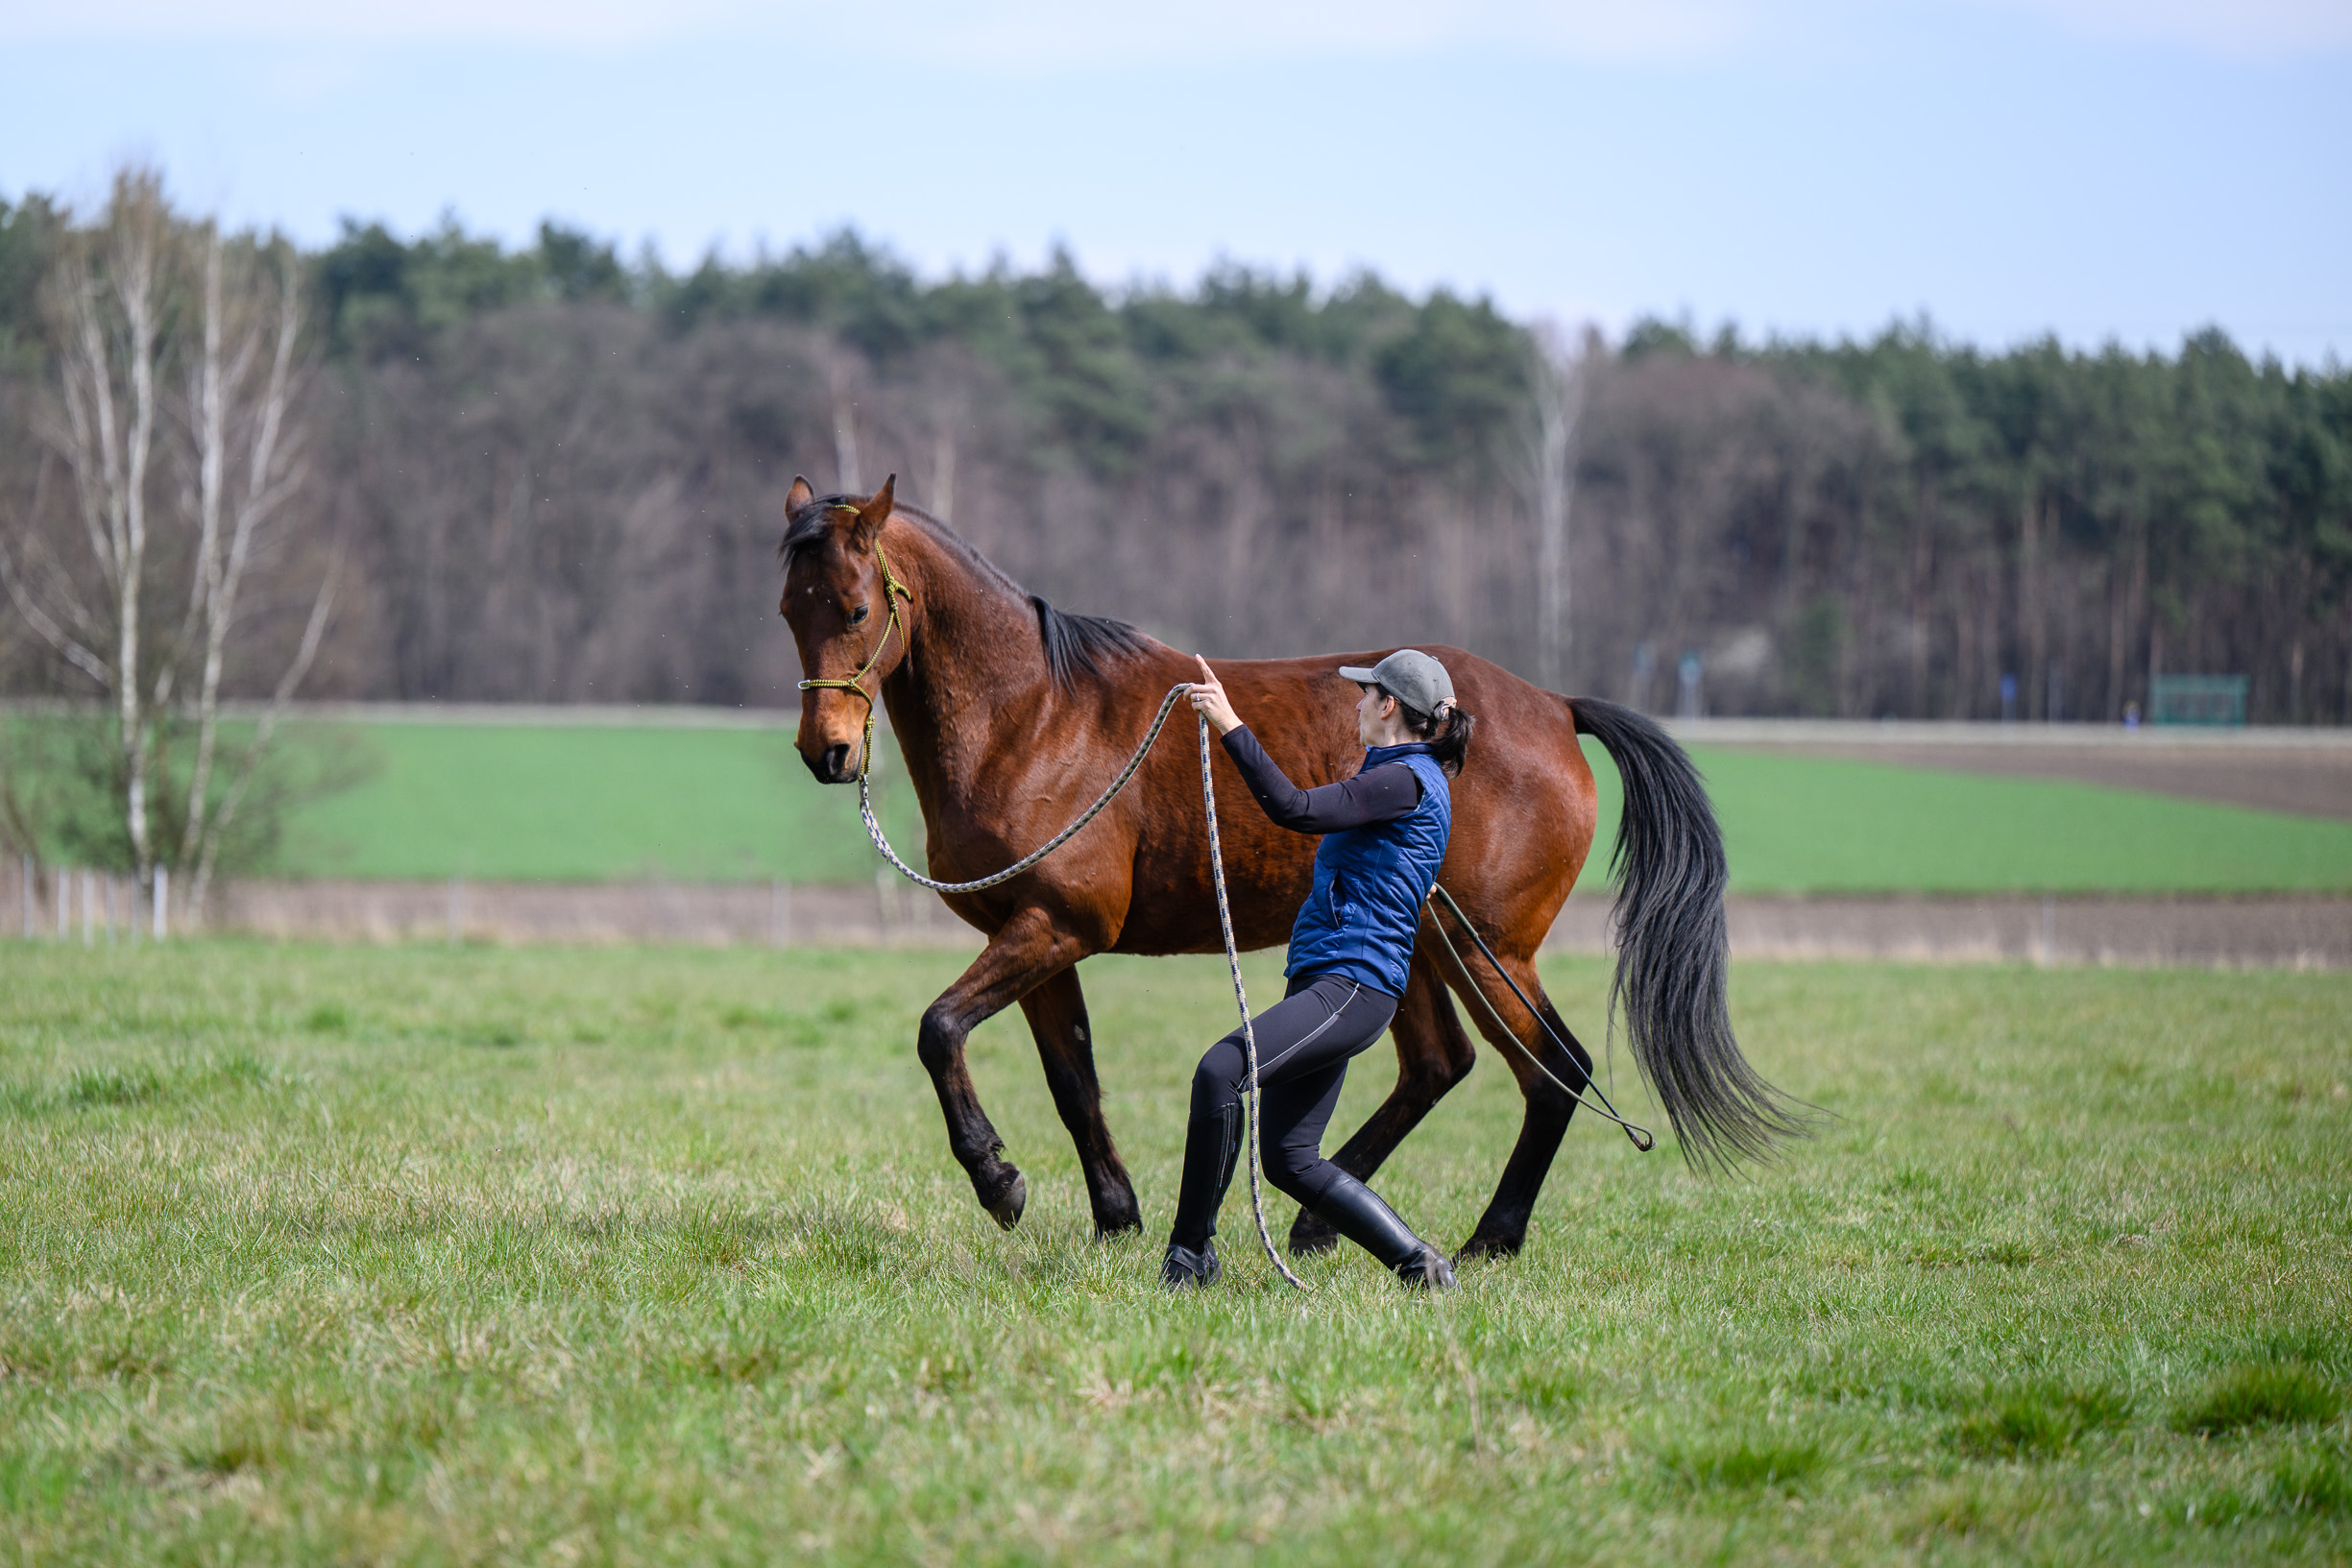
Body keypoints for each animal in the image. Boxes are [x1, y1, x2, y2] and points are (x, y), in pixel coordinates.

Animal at [779, 475, 1801, 1260]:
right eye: (789, 608)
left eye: (859, 608)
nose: (826, 752)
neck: (1034, 716)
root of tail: (1552, 705)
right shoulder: (1037, 938)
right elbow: (1072, 1082)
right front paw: (1115, 1219)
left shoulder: (1055, 926)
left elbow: (938, 1028)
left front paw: (998, 1180)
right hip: (1422, 945)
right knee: (1439, 1065)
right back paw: (1317, 1223)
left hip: (1488, 949)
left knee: (1554, 1068)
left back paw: (1489, 1238)